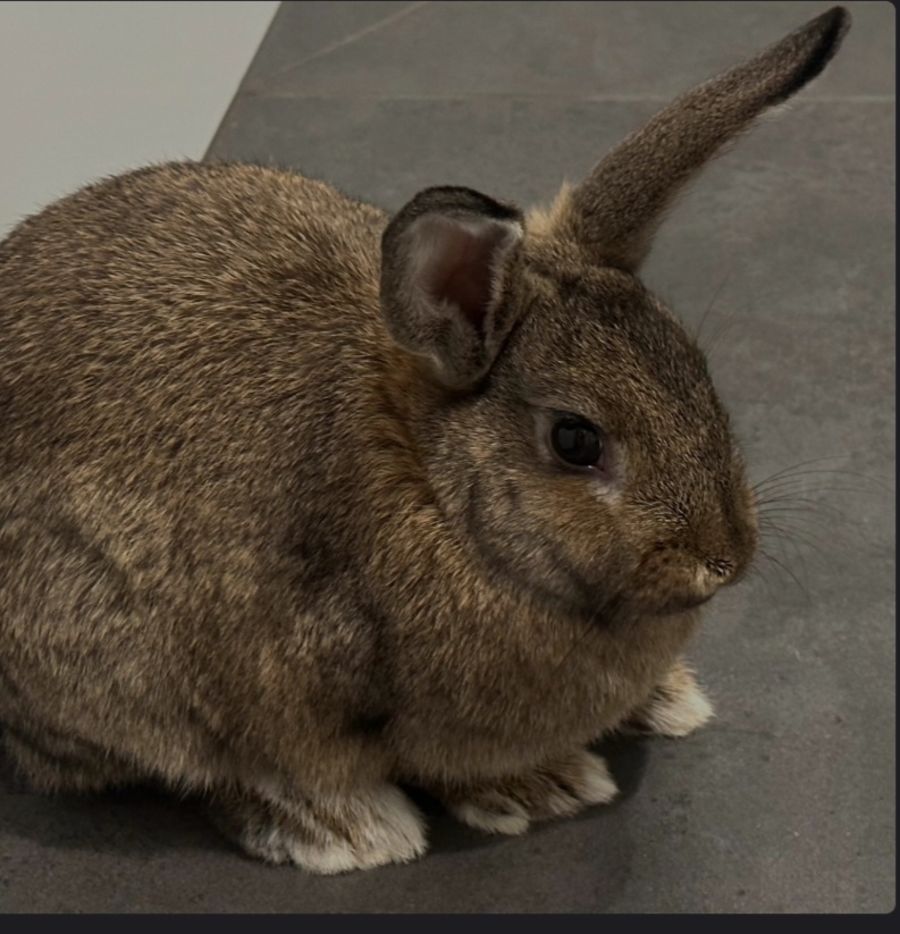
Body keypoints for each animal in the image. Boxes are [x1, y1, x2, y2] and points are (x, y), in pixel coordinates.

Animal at [0, 7, 849, 872]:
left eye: (697, 370)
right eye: (575, 440)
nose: (724, 559)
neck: (437, 494)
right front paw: (537, 789)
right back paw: (346, 832)